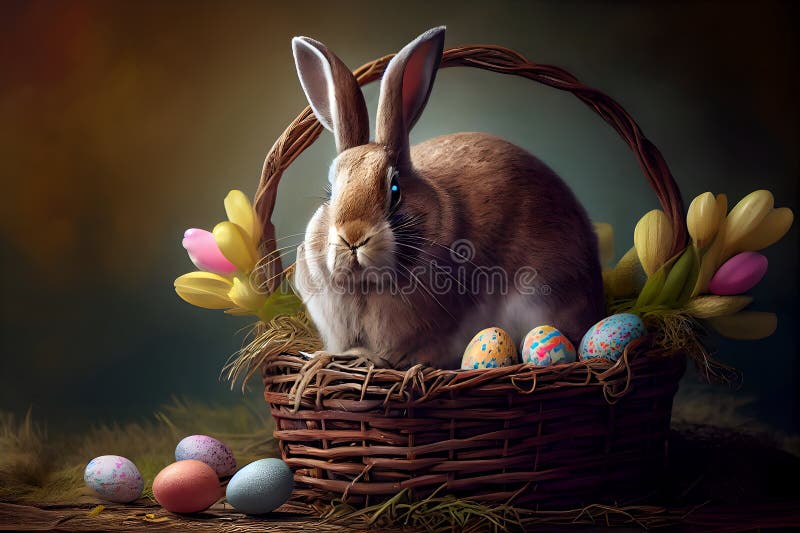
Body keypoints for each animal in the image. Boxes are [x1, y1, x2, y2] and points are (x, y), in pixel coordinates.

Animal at [290, 26, 605, 369]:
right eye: (330, 191)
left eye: (395, 190)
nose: (353, 238)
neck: (365, 285)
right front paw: (326, 354)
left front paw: (355, 357)